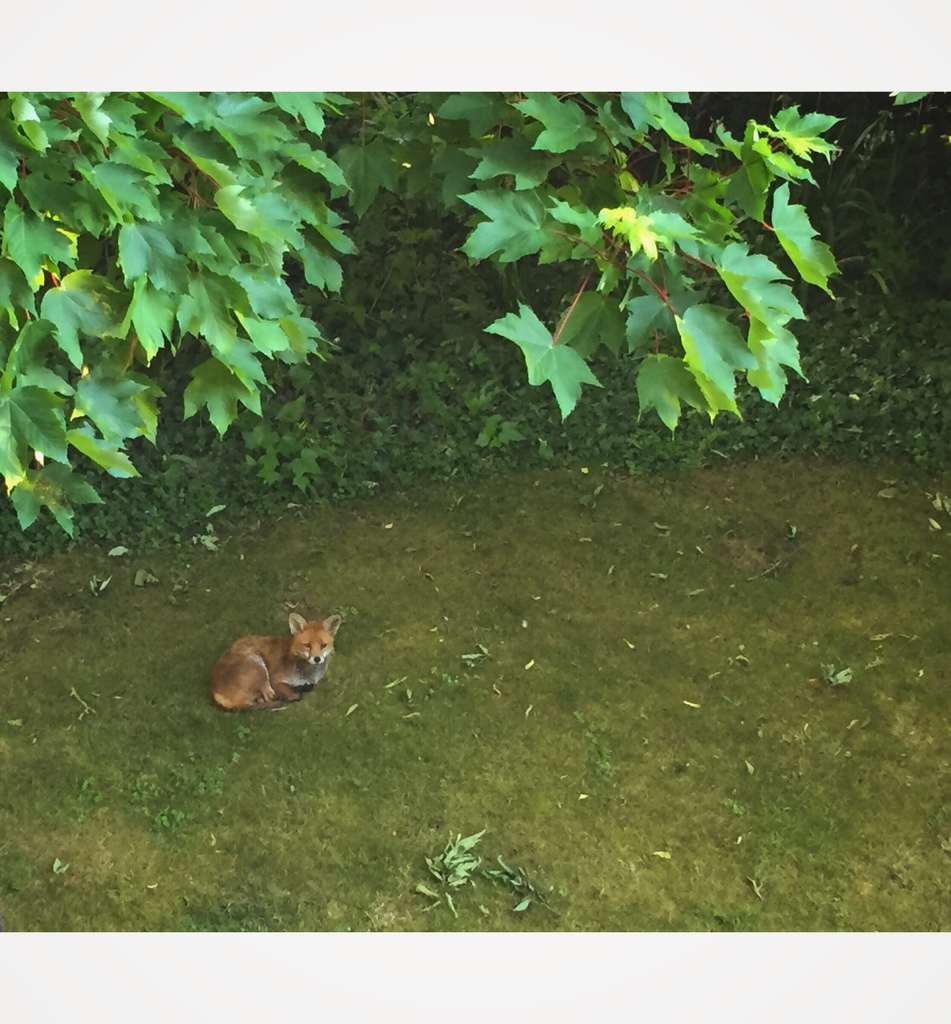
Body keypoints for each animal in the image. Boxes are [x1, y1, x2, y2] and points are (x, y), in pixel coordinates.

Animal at [210, 612, 342, 712]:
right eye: (307, 645)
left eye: (323, 645)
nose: (317, 659)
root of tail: (214, 689)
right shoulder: (275, 679)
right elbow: (291, 692)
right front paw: (294, 694)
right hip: (259, 667)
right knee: (269, 697)